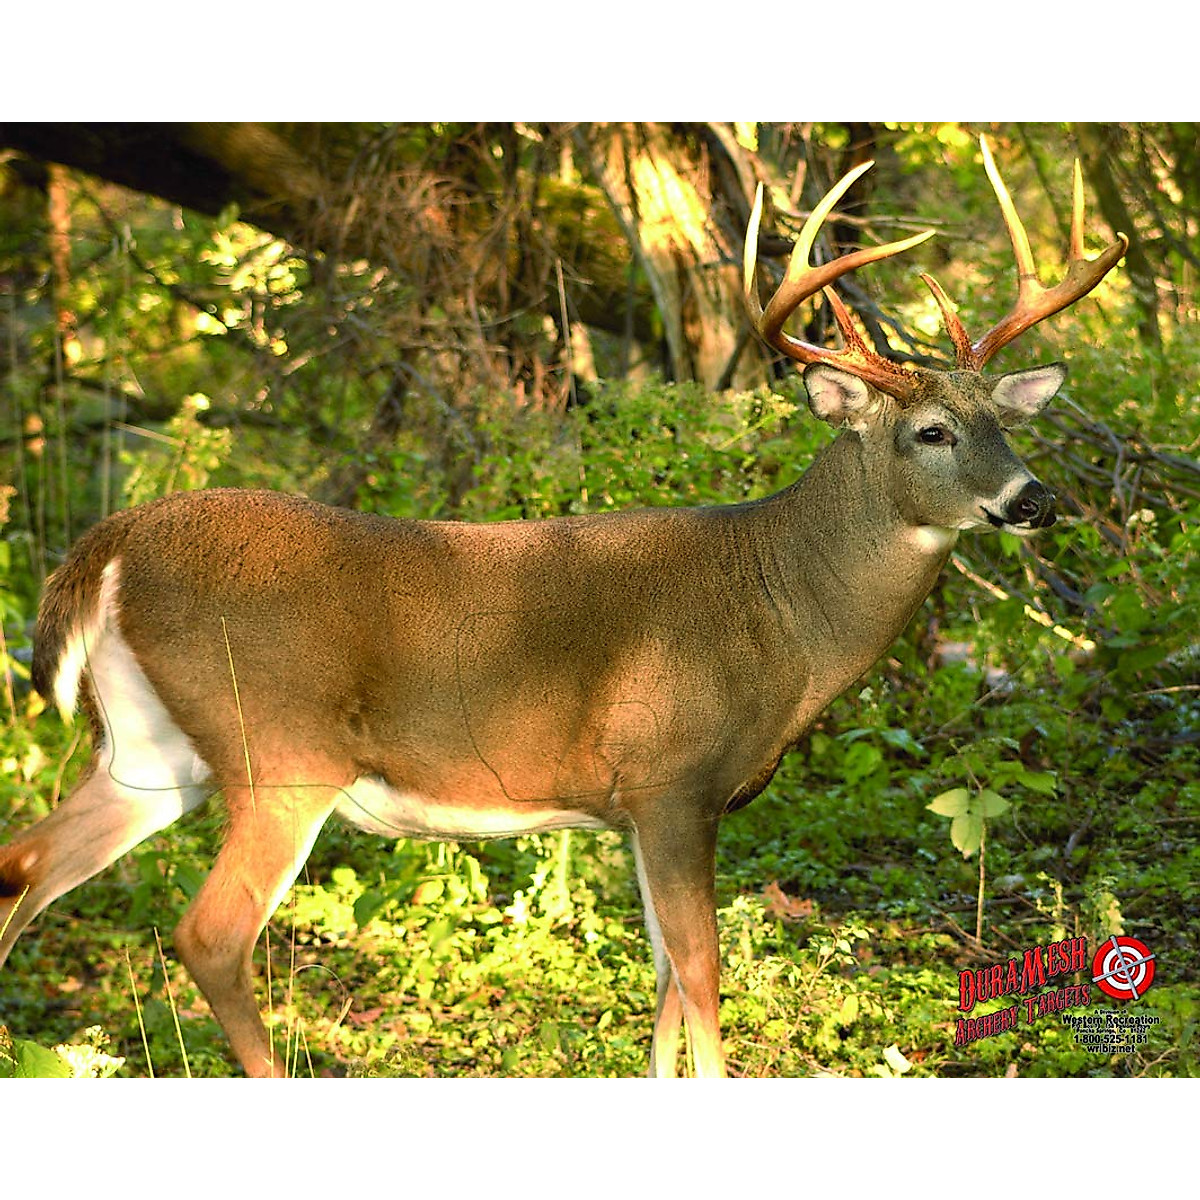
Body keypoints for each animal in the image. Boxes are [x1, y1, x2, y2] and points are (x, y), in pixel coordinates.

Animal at [0, 136, 1125, 1078]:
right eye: (932, 431)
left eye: (1005, 423)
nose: (1036, 499)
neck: (779, 607)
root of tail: (111, 544)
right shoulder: (672, 780)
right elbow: (703, 985)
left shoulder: (639, 809)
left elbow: (666, 997)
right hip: (279, 747)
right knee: (211, 936)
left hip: (154, 752)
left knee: (27, 861)